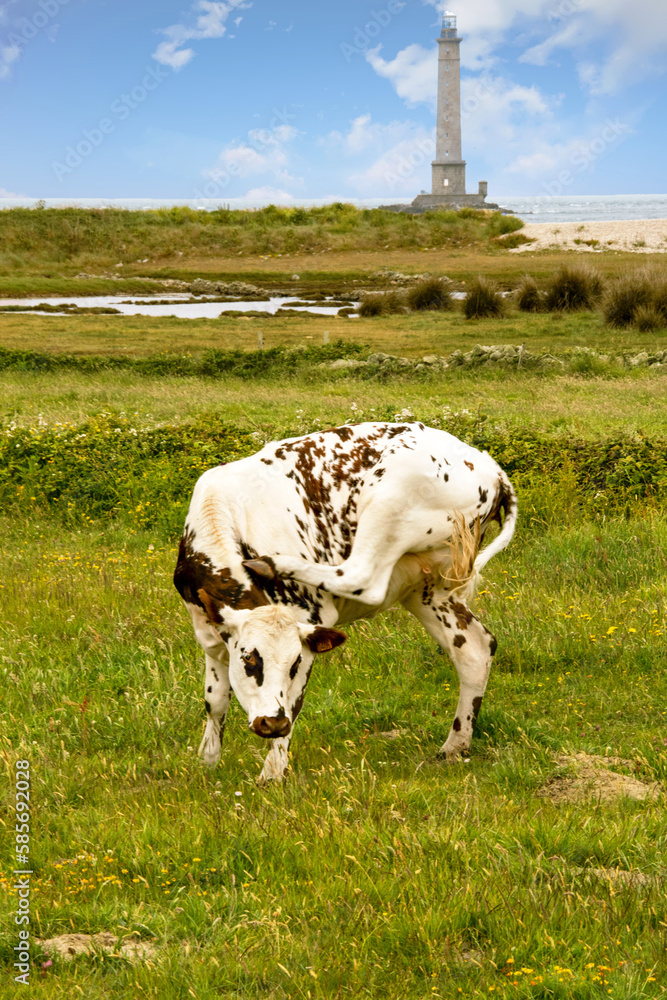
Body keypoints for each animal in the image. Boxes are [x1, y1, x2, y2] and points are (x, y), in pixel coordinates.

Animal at [174, 421, 517, 784]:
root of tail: (489, 466)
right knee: (474, 649)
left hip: (388, 503)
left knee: (362, 577)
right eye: (250, 660)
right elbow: (215, 701)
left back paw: (273, 562)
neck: (222, 513)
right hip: (428, 588)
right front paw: (207, 762)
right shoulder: (210, 634)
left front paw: (272, 774)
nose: (273, 722)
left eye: (294, 663)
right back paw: (455, 746)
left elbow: (293, 701)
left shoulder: (309, 623)